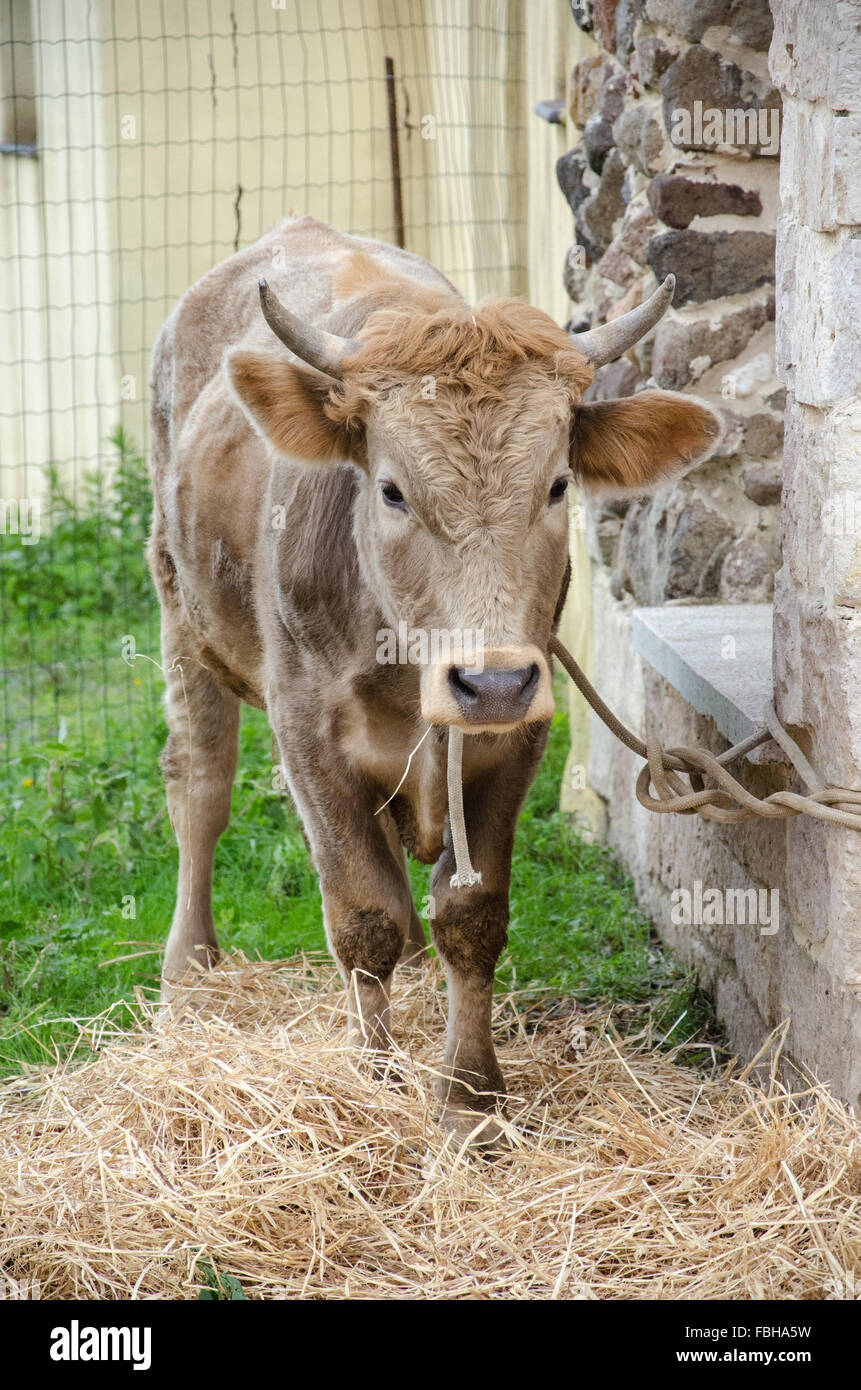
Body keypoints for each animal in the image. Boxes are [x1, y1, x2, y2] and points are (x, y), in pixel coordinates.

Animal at [148, 215, 721, 1147]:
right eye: (391, 491)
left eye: (556, 485)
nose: (487, 684)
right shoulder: (308, 734)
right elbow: (361, 917)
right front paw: (374, 1077)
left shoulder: (518, 735)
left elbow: (471, 917)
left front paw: (469, 1097)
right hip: (181, 615)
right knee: (199, 790)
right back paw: (189, 973)